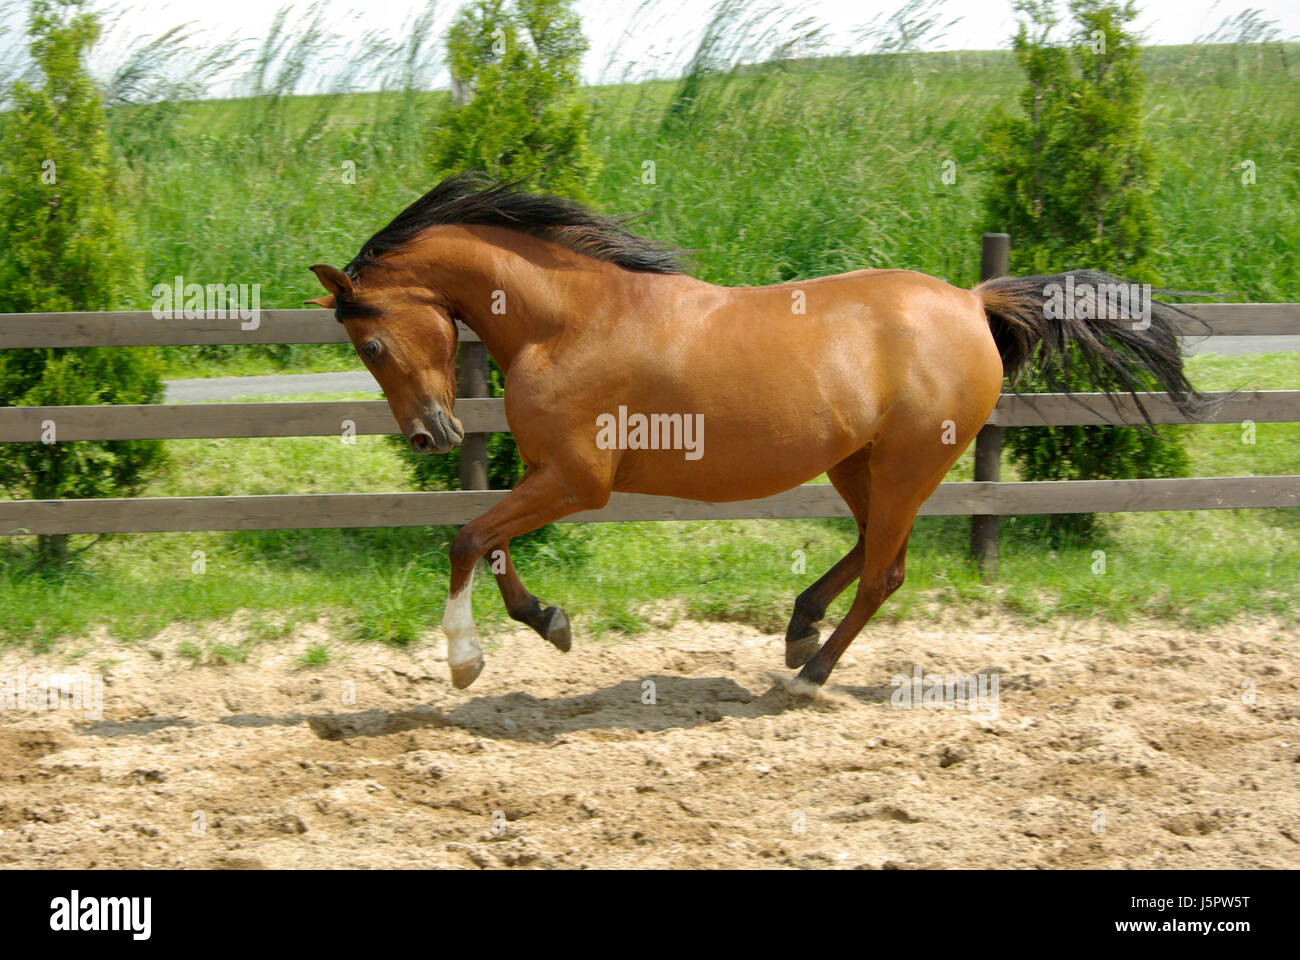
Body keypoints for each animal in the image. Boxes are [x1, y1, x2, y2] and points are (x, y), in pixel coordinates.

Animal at [306, 173, 1202, 690]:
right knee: (875, 553)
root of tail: (973, 301)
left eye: (370, 344)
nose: (430, 435)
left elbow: (465, 538)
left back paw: (811, 672)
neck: (566, 321)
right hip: (857, 462)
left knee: (885, 571)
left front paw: (466, 661)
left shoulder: (576, 481)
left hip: (908, 462)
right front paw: (550, 622)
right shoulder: (547, 477)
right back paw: (800, 628)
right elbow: (490, 547)